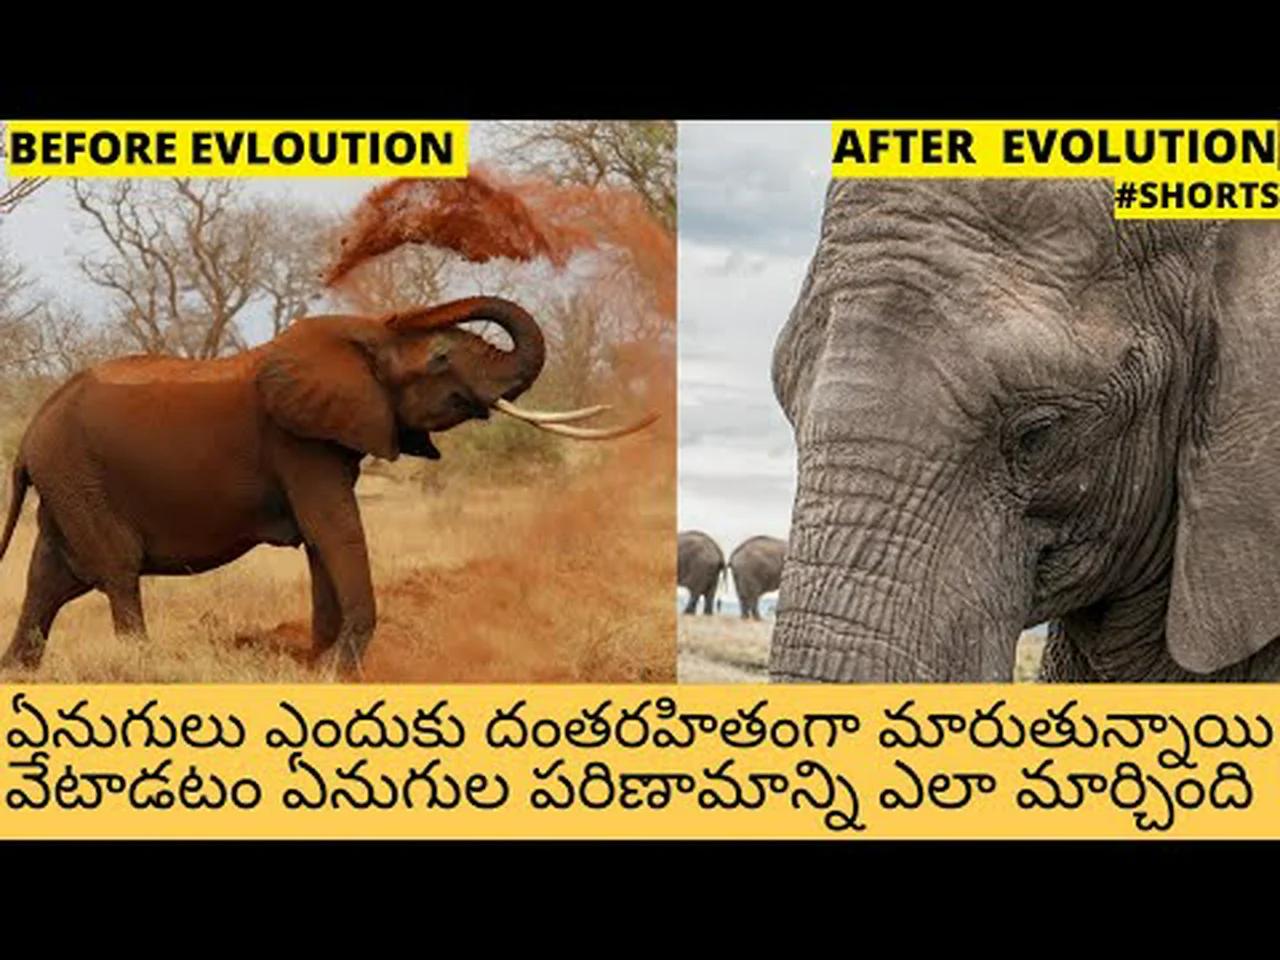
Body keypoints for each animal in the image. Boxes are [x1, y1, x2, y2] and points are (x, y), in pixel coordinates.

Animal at [0, 296, 653, 673]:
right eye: (441, 359)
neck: (362, 339)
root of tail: (31, 433)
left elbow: (323, 540)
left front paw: (315, 665)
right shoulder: (299, 442)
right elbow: (334, 529)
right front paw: (339, 669)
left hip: (67, 483)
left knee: (49, 579)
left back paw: (19, 672)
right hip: (78, 476)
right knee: (115, 572)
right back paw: (140, 665)